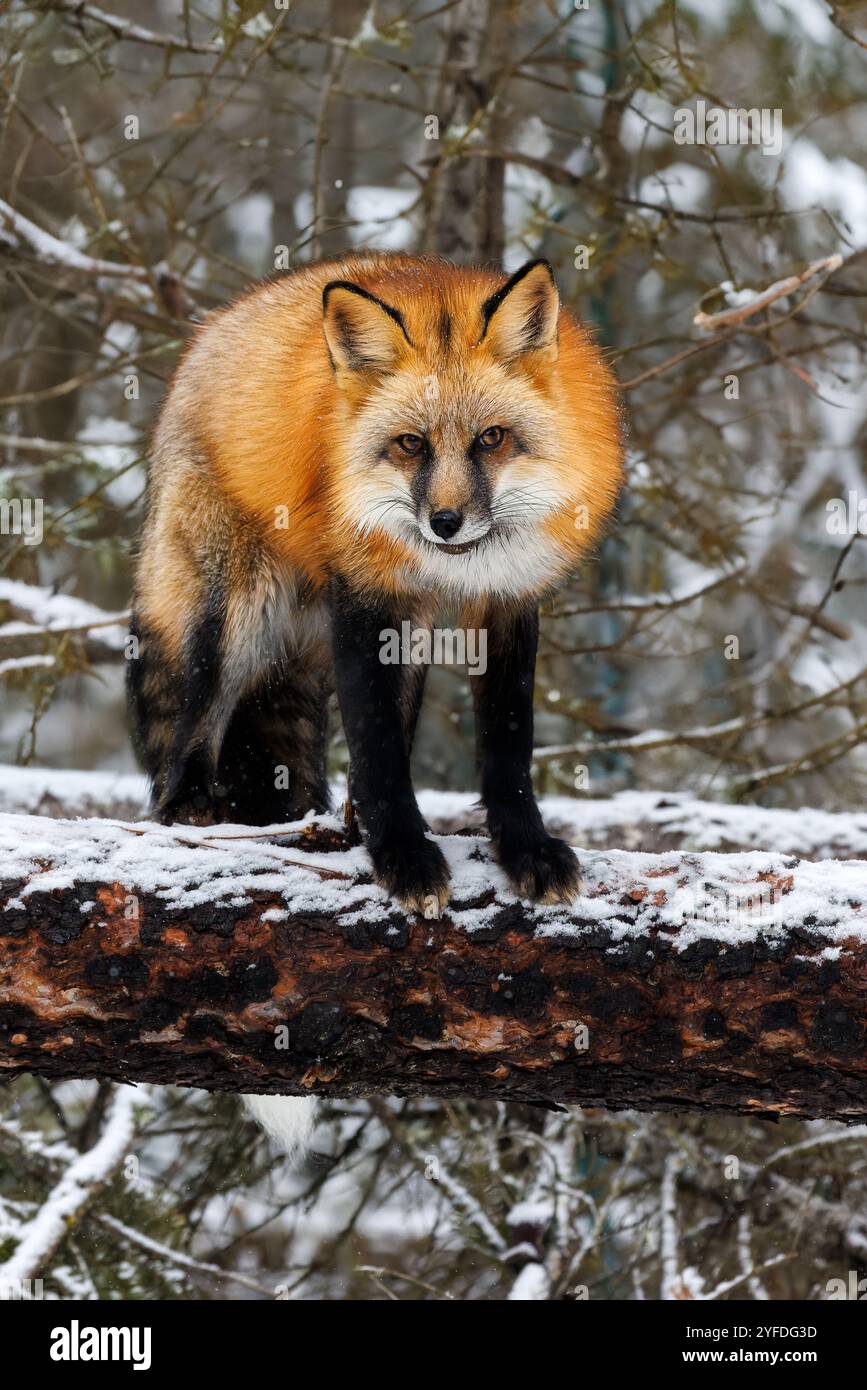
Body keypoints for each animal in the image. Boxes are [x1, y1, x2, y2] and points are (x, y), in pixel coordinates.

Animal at [127, 251, 623, 1151]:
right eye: (410, 444)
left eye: (492, 438)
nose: (446, 522)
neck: (453, 568)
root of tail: (213, 330)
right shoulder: (365, 596)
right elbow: (379, 747)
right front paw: (401, 857)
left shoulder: (507, 600)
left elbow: (505, 745)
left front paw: (523, 849)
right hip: (236, 610)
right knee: (193, 723)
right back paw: (189, 808)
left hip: (407, 639)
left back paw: (342, 823)